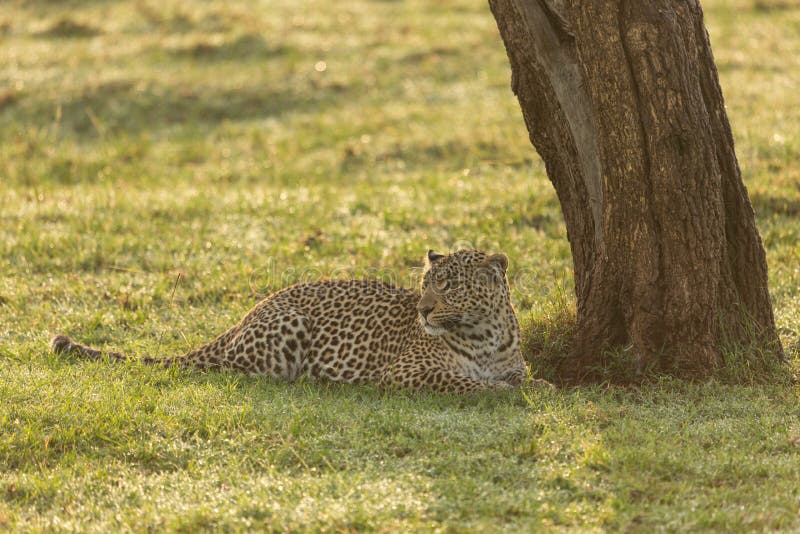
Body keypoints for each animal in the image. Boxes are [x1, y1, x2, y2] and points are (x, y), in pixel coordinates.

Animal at [51, 249, 543, 393]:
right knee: (243, 374)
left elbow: (525, 378)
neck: (484, 332)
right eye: (426, 283)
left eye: (451, 286)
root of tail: (240, 320)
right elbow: (463, 381)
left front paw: (538, 386)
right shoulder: (407, 372)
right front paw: (497, 392)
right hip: (288, 327)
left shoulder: (511, 361)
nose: (423, 309)